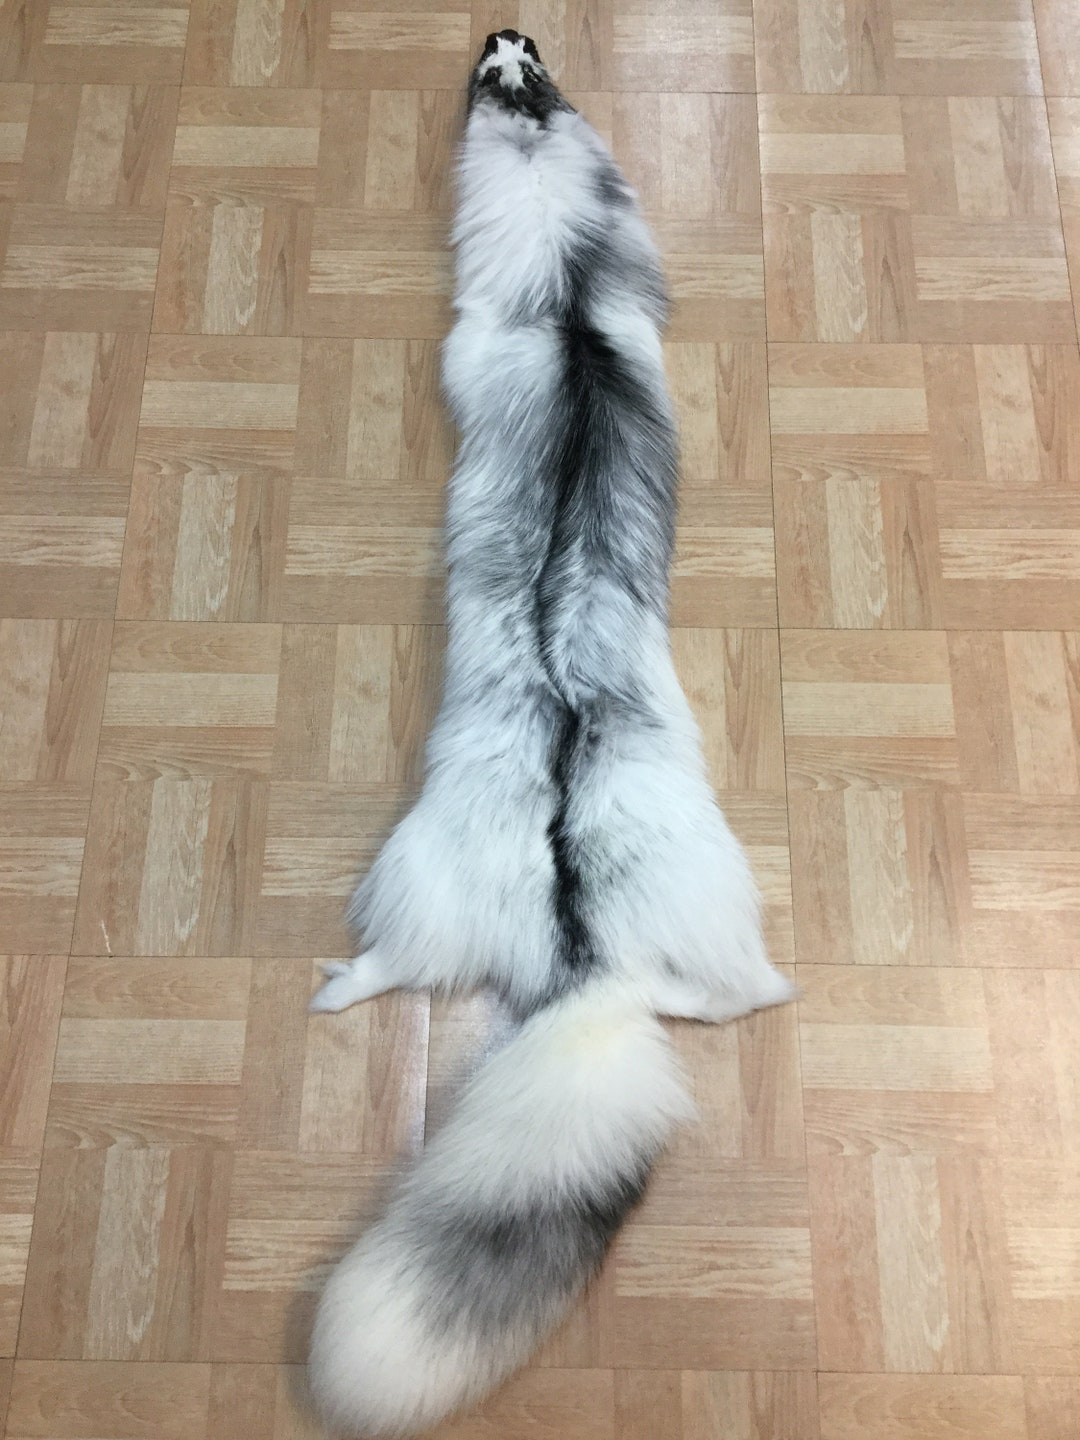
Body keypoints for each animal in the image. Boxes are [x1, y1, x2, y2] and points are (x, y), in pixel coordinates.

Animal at [307, 30, 794, 1437]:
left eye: (521, 70)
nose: (503, 33)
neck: (569, 293)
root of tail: (586, 968)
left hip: (411, 877)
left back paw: (333, 981)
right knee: (726, 999)